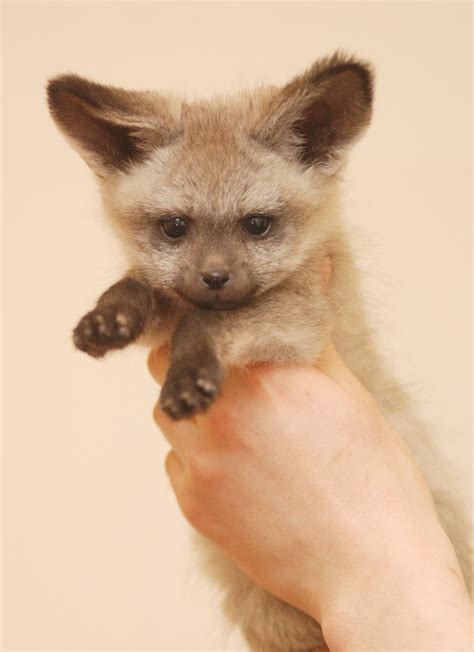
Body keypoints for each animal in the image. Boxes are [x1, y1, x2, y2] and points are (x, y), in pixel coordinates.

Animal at [47, 52, 472, 651]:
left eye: (257, 225)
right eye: (174, 227)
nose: (214, 278)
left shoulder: (300, 319)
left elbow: (202, 321)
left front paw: (191, 376)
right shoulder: (170, 298)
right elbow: (141, 287)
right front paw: (110, 317)